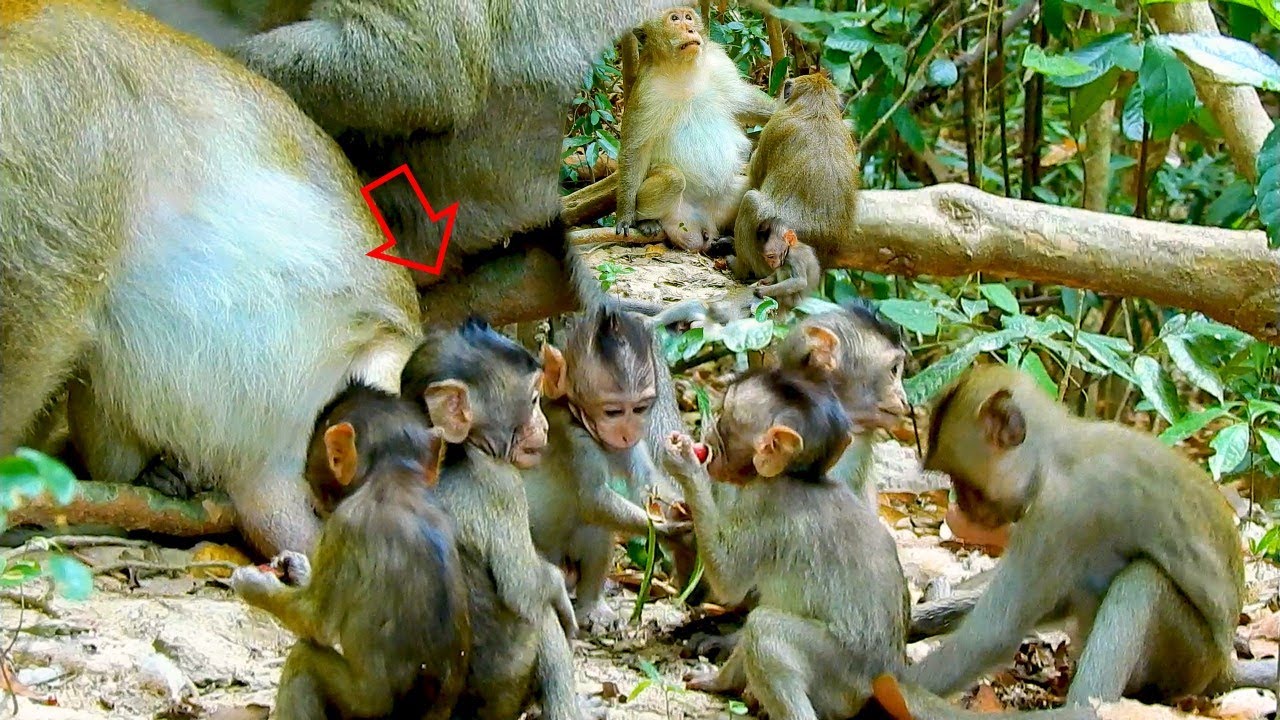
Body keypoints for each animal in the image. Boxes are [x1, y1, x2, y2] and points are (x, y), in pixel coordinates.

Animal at [231, 388, 469, 719]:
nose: (315, 495)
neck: (394, 475)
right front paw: (296, 568)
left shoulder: (346, 523)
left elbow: (314, 620)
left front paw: (254, 584)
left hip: (360, 708)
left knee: (304, 659)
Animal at [398, 318, 597, 720]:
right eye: (534, 401)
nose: (545, 425)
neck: (460, 451)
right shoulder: (503, 485)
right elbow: (522, 588)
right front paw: (558, 584)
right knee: (541, 614)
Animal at [522, 306, 692, 634]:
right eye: (613, 412)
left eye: (639, 409)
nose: (627, 432)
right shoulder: (574, 438)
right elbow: (593, 499)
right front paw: (670, 532)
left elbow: (646, 483)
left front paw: (682, 508)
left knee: (595, 531)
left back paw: (592, 606)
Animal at [613, 6, 778, 253]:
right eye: (675, 19)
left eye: (689, 17)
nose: (690, 29)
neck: (683, 68)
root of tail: (704, 225)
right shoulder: (645, 90)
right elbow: (635, 149)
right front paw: (624, 216)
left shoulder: (719, 63)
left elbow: (744, 101)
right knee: (673, 179)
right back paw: (647, 221)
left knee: (750, 191)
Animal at [905, 363, 1278, 703]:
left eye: (964, 483)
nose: (962, 509)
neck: (1055, 455)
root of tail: (1222, 668)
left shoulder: (1061, 513)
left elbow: (991, 636)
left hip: (1189, 659)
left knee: (1142, 578)